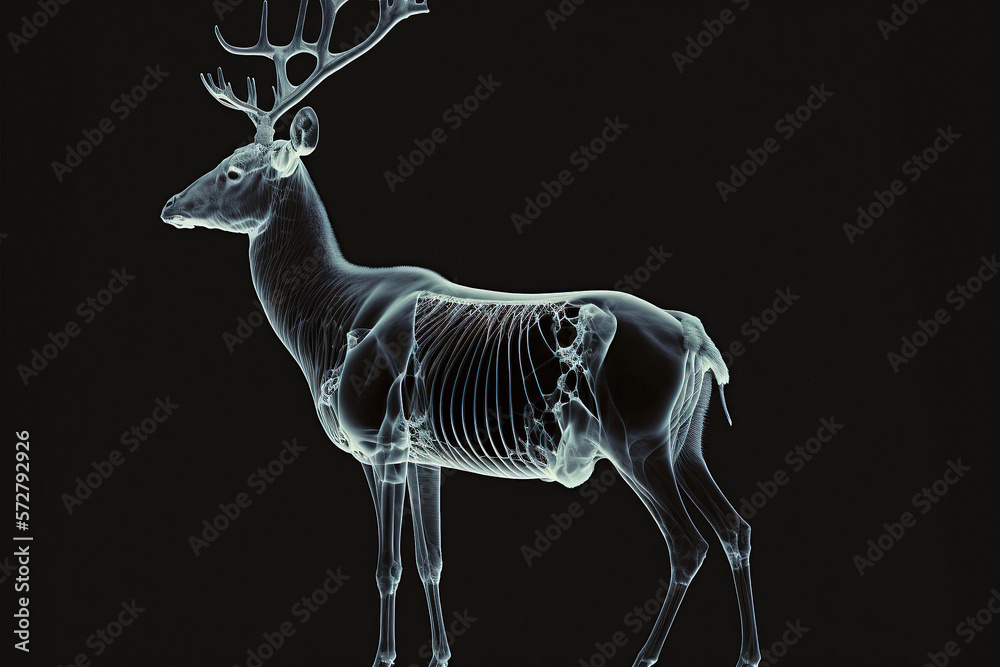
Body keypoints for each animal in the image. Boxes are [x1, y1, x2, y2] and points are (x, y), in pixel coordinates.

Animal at [160, 1, 761, 665]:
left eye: (234, 170)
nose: (170, 204)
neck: (332, 316)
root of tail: (694, 338)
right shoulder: (425, 455)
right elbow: (431, 560)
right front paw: (441, 654)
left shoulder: (379, 442)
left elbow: (387, 565)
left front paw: (383, 656)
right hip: (687, 437)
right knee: (735, 528)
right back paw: (748, 653)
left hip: (638, 438)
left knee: (687, 543)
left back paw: (646, 655)